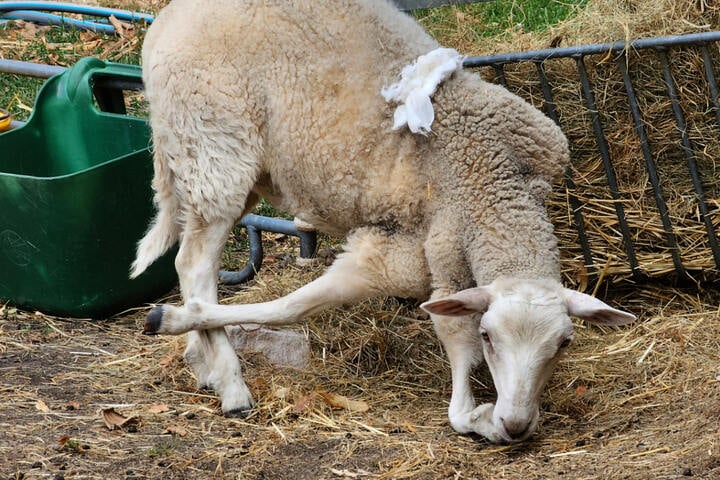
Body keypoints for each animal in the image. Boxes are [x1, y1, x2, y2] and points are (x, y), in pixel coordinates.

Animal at [132, 0, 636, 443]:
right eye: (489, 337)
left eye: (565, 343)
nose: (516, 424)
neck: (492, 182)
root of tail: (162, 23)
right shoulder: (416, 255)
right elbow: (299, 305)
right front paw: (481, 418)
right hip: (213, 148)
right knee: (194, 265)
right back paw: (229, 382)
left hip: (228, 166)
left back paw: (201, 362)